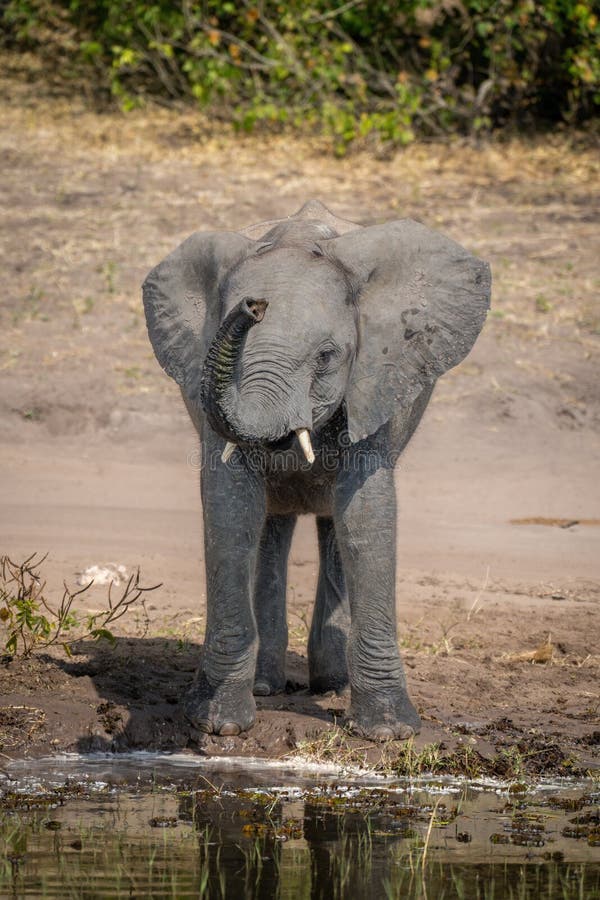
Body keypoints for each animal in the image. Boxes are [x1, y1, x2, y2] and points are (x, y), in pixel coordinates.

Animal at [143, 200, 491, 741]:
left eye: (326, 356)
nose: (253, 306)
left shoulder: (377, 378)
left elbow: (366, 514)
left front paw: (388, 732)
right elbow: (229, 510)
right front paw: (218, 724)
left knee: (331, 523)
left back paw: (331, 685)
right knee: (271, 525)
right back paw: (268, 686)